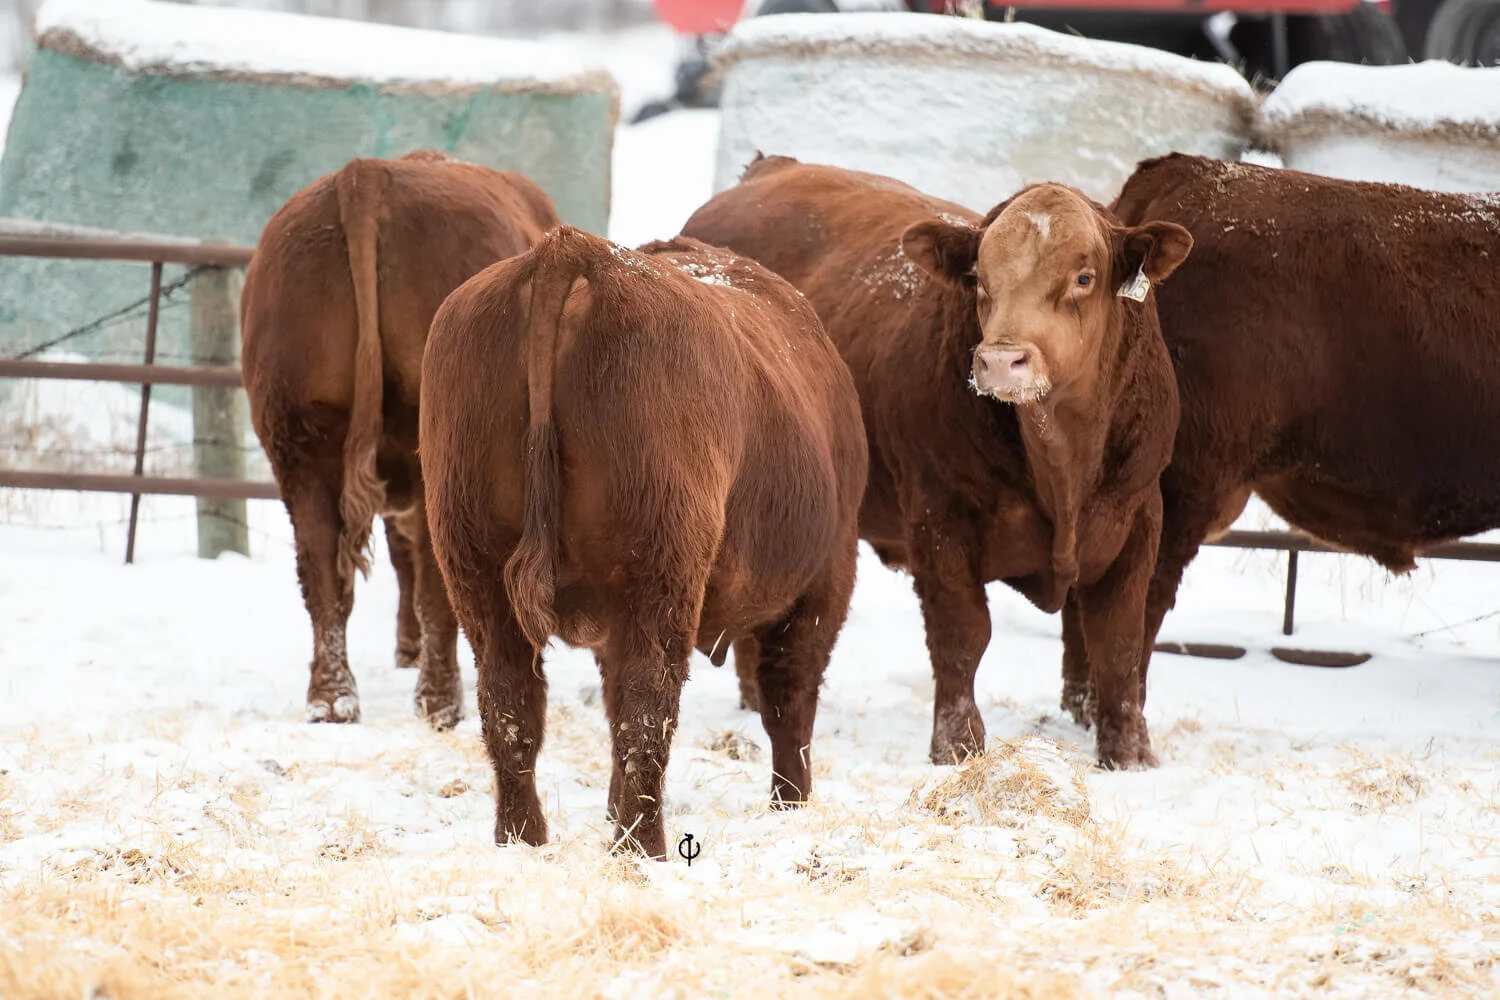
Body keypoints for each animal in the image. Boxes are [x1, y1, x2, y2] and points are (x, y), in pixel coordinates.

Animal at [241, 151, 559, 730]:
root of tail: (368, 173)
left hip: (297, 447)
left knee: (322, 573)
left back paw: (332, 698)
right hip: (436, 460)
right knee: (436, 581)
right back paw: (440, 700)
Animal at [420, 227, 867, 857]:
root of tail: (573, 249)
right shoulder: (824, 583)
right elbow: (789, 700)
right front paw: (791, 804)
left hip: (476, 572)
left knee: (511, 708)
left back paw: (524, 840)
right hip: (660, 575)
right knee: (646, 707)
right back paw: (642, 845)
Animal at [683, 156, 1190, 768]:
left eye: (1084, 277)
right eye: (980, 279)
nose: (1000, 360)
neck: (1063, 465)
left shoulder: (1139, 518)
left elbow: (1119, 643)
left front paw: (1129, 752)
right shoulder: (940, 517)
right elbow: (963, 634)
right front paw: (958, 744)